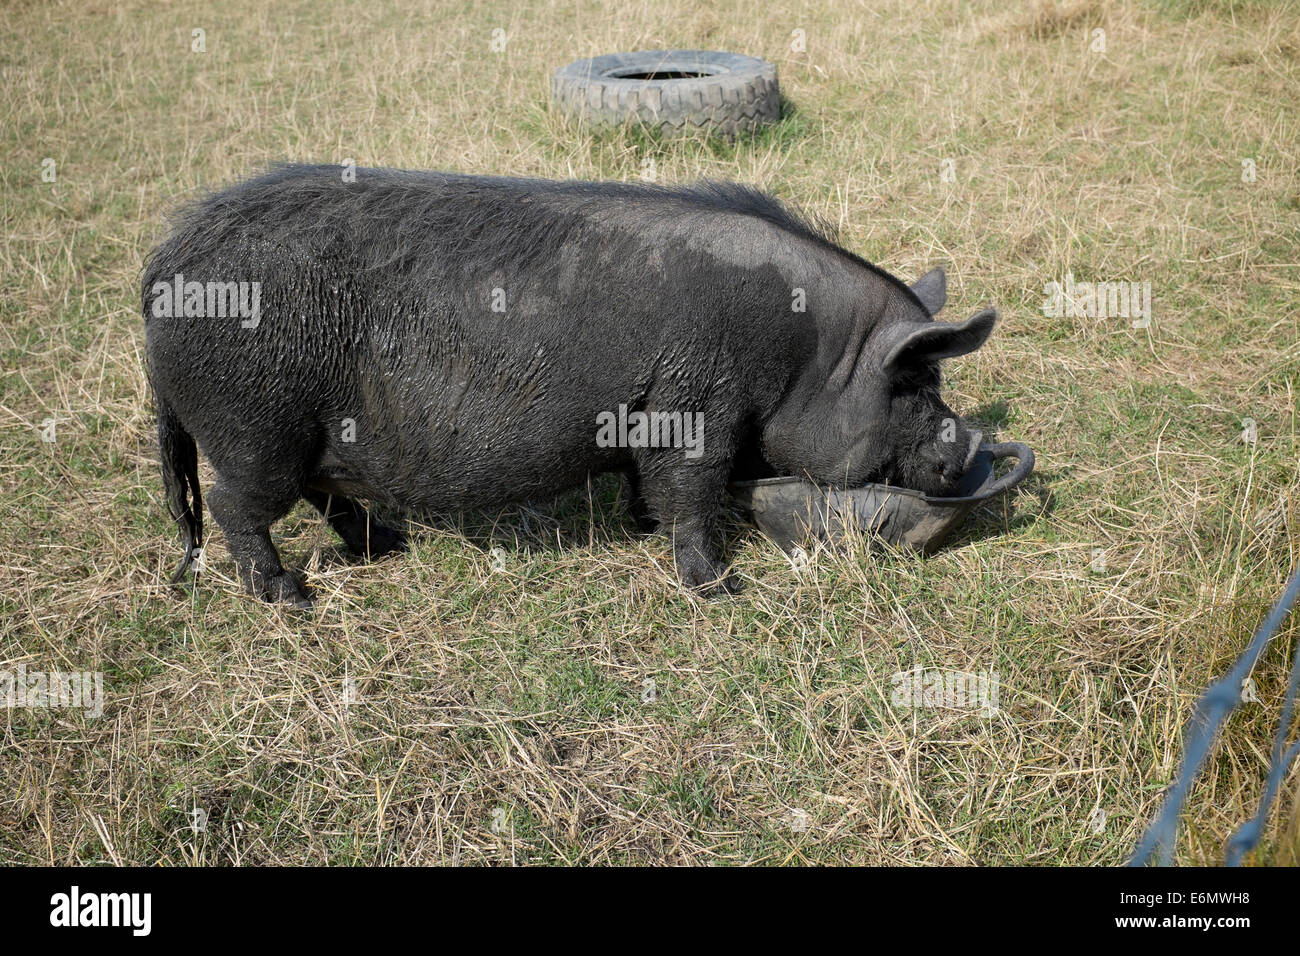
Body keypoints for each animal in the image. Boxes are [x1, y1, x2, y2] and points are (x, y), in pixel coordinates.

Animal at [144, 164, 995, 607]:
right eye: (912, 385)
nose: (966, 451)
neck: (810, 350)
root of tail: (160, 269)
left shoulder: (651, 415)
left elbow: (649, 486)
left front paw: (642, 530)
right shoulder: (698, 410)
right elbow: (693, 495)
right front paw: (719, 591)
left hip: (304, 434)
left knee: (323, 495)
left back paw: (386, 546)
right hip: (253, 427)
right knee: (232, 505)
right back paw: (291, 597)